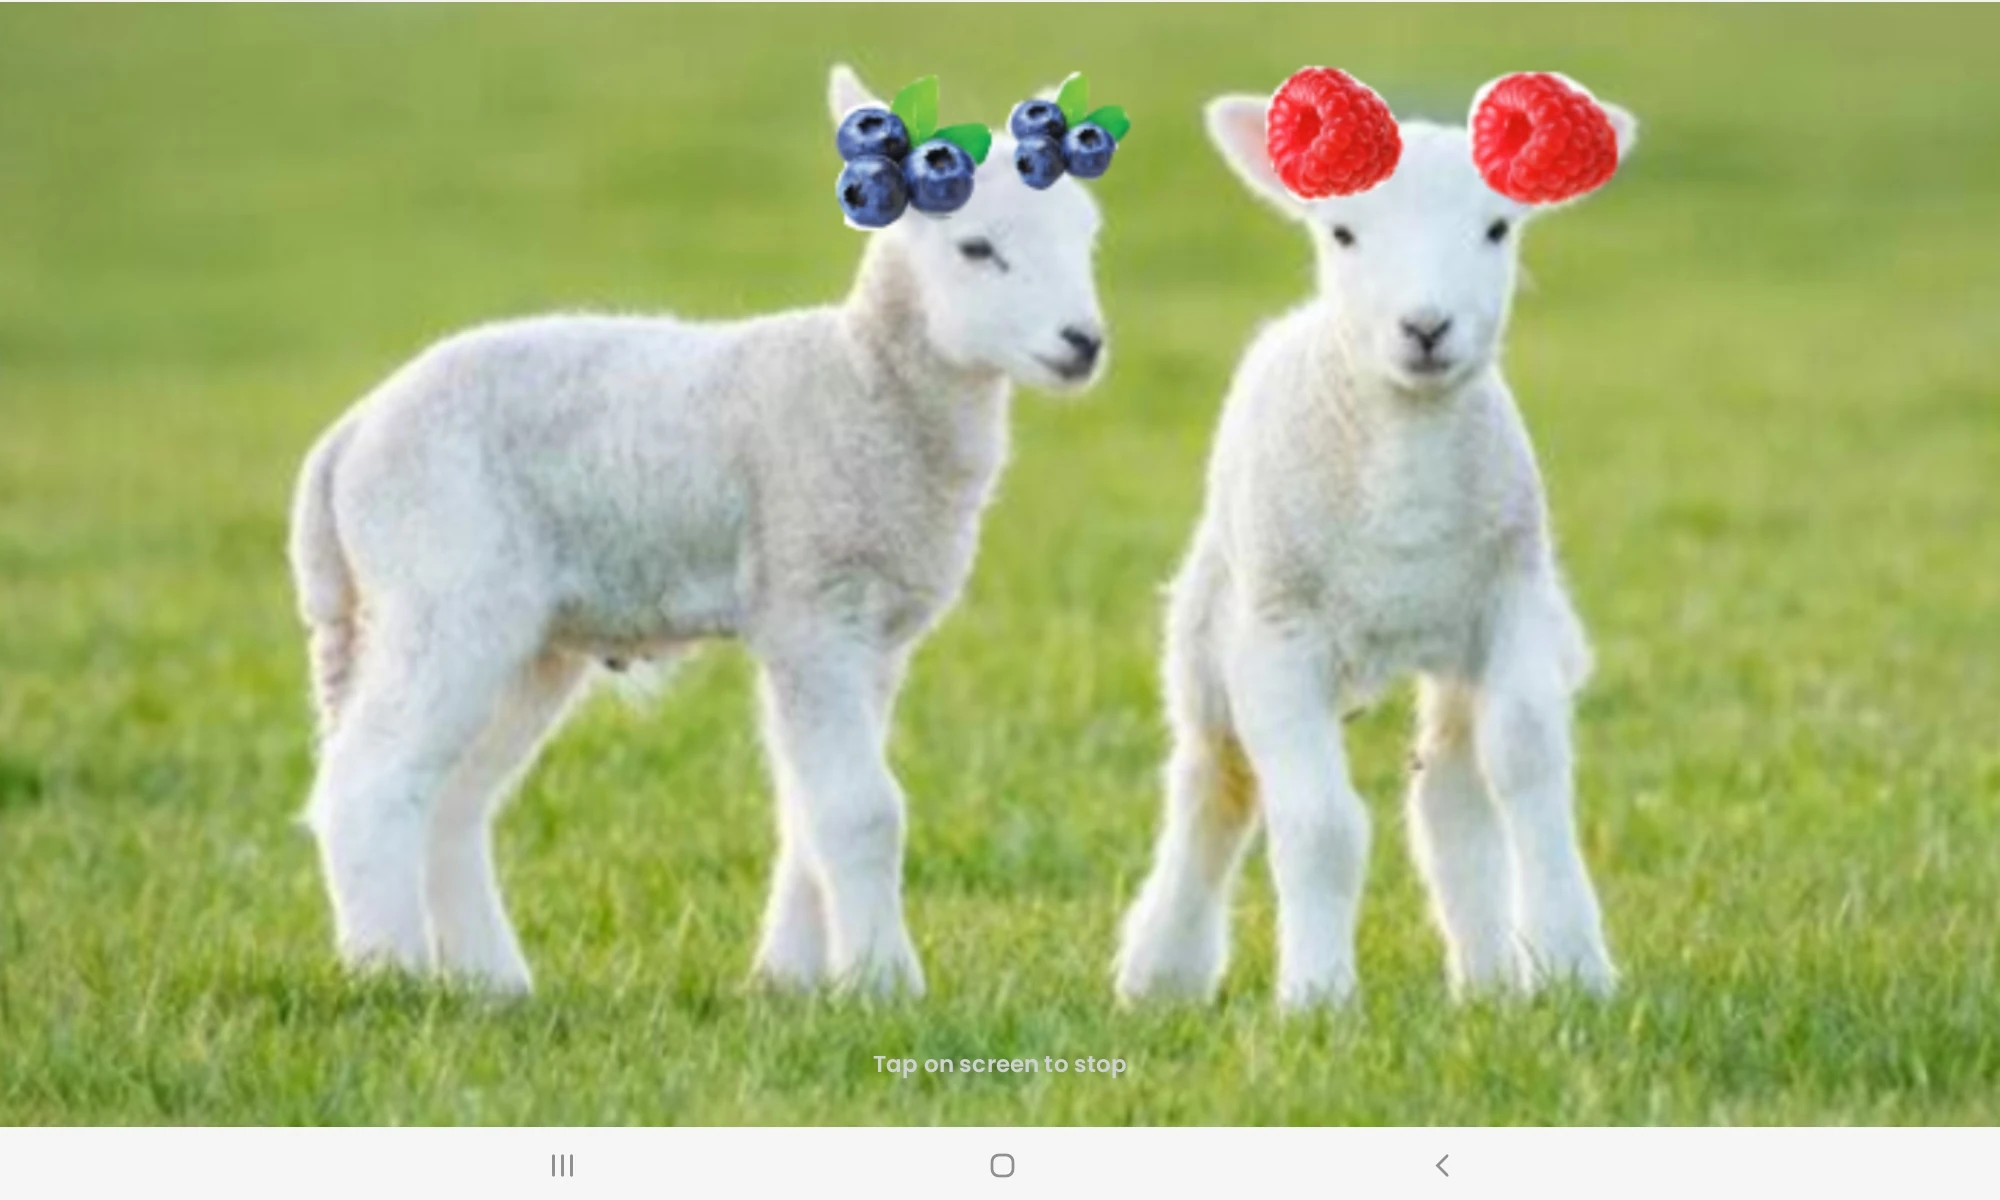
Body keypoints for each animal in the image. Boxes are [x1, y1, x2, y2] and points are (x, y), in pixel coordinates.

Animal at [287, 64, 1109, 997]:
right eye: (976, 249)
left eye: (1088, 239)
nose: (1083, 343)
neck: (865, 383)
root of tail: (347, 439)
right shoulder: (812, 602)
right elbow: (862, 809)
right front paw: (884, 985)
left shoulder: (875, 633)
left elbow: (810, 808)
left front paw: (792, 981)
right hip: (444, 582)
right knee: (370, 782)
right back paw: (388, 972)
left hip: (525, 638)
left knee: (452, 798)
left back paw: (493, 988)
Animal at [1113, 88, 1637, 1009]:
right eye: (1342, 233)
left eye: (1497, 228)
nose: (1425, 327)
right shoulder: (1279, 638)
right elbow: (1322, 823)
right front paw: (1317, 998)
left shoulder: (1512, 601)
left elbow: (1526, 767)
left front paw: (1575, 966)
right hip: (1212, 630)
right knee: (1214, 780)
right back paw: (1161, 971)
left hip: (1458, 645)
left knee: (1451, 788)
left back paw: (1487, 980)